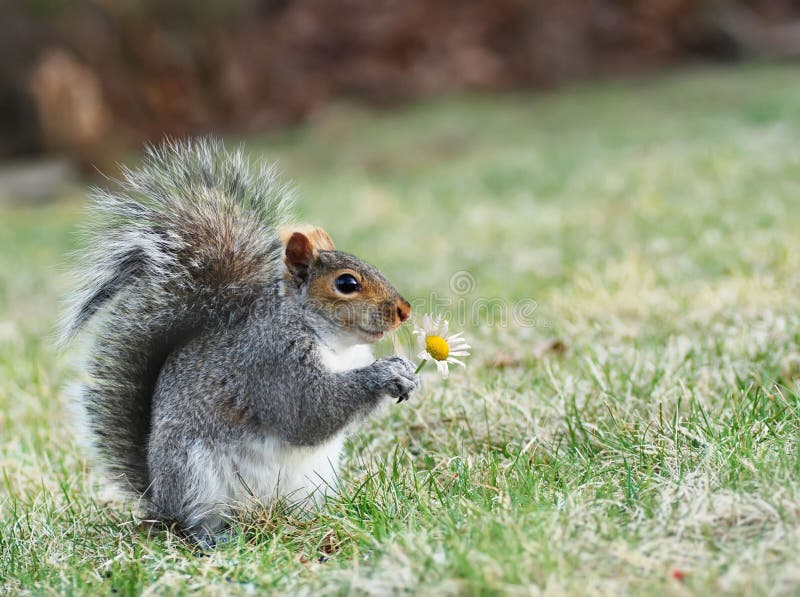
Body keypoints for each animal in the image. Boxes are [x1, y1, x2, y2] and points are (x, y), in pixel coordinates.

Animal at [62, 138, 419, 545]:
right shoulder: (272, 363)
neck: (335, 343)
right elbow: (308, 411)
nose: (404, 311)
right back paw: (214, 537)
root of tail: (157, 497)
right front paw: (384, 374)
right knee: (193, 522)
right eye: (346, 283)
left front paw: (407, 372)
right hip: (195, 475)